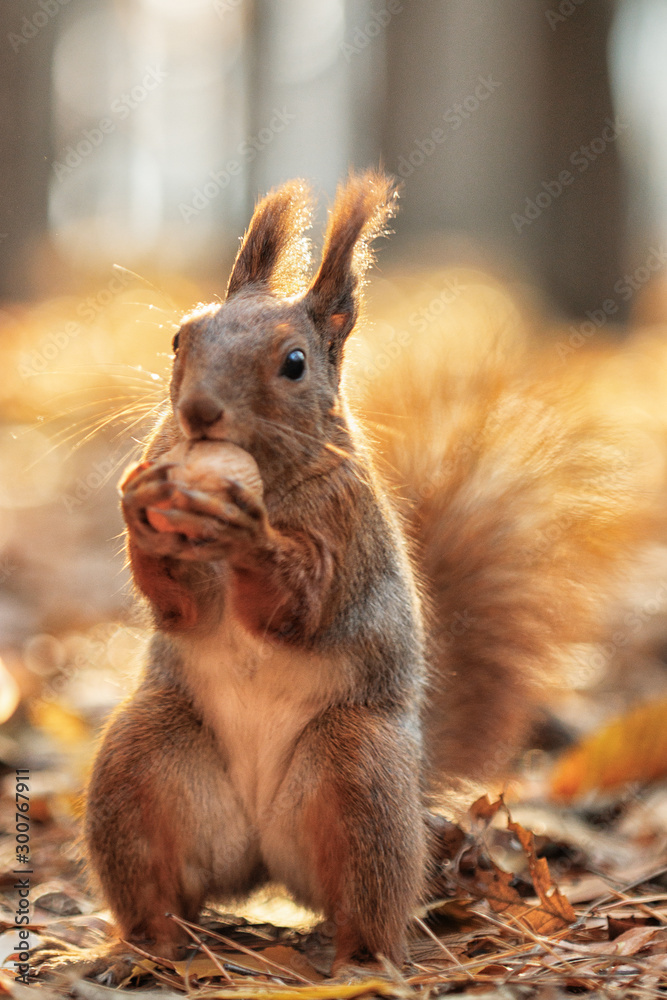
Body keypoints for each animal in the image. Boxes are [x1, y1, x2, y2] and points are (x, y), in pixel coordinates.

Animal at [84, 170, 654, 972]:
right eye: (178, 338)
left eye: (293, 363)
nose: (196, 412)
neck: (270, 477)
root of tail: (263, 858)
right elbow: (181, 609)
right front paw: (141, 507)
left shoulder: (346, 533)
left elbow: (302, 608)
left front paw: (254, 540)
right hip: (143, 760)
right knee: (159, 884)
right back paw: (145, 945)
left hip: (358, 770)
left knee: (369, 900)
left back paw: (362, 960)